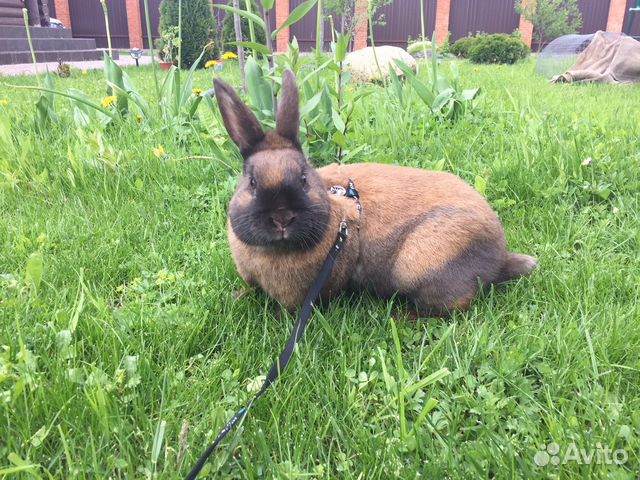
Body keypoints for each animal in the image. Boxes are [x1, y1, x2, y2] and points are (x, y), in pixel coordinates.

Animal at [213, 70, 536, 317]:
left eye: (304, 178)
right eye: (251, 182)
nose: (282, 218)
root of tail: (499, 257)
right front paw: (236, 296)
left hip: (419, 265)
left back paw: (402, 316)